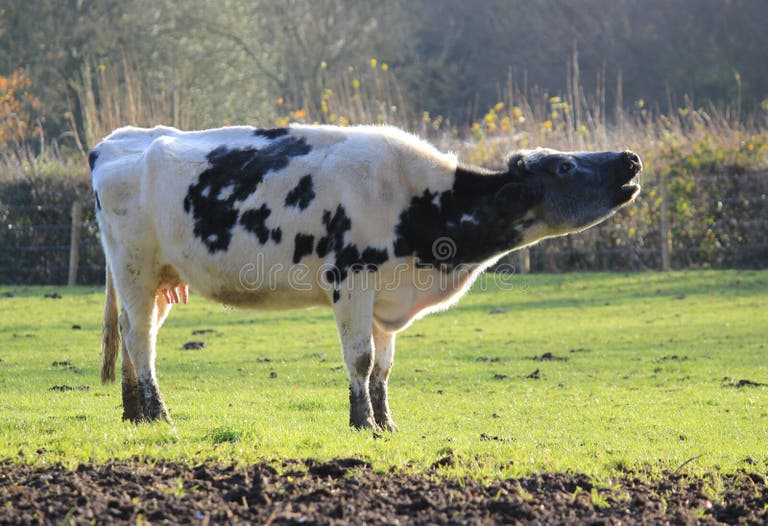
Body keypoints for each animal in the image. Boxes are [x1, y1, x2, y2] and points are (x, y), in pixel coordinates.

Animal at [91, 124, 641, 430]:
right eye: (565, 166)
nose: (632, 157)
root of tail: (117, 141)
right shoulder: (351, 281)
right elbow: (360, 359)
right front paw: (362, 425)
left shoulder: (385, 298)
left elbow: (384, 367)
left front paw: (386, 422)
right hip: (135, 267)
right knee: (141, 340)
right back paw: (158, 414)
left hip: (159, 281)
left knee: (133, 335)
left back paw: (133, 413)